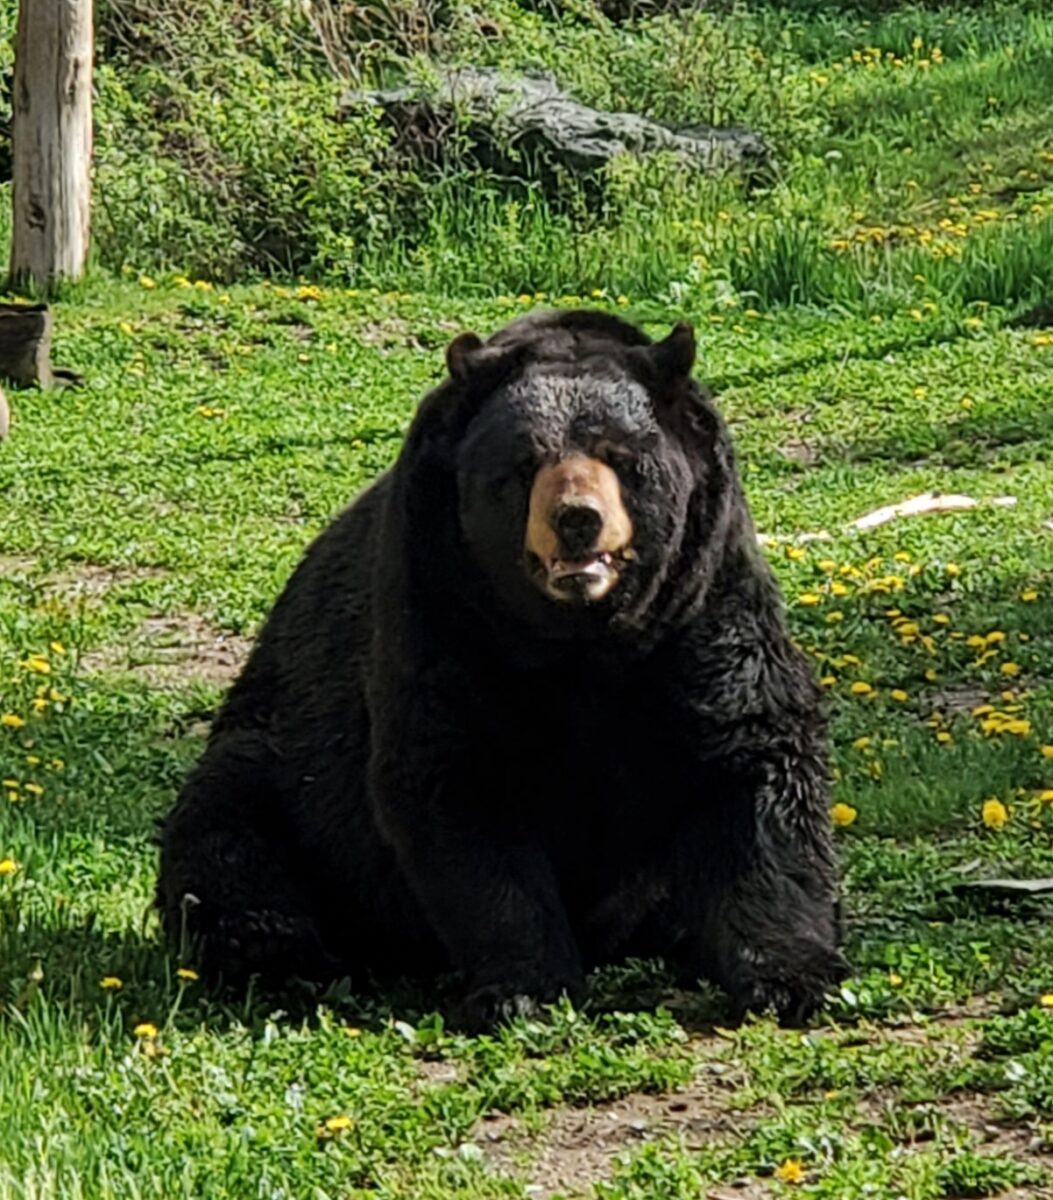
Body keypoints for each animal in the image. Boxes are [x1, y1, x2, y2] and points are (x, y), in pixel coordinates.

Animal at [157, 309, 846, 1031]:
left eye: (620, 457)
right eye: (524, 464)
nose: (578, 520)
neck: (579, 641)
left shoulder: (703, 596)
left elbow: (751, 755)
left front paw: (794, 979)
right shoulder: (445, 603)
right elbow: (457, 781)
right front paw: (524, 989)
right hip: (275, 772)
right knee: (226, 836)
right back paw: (280, 953)